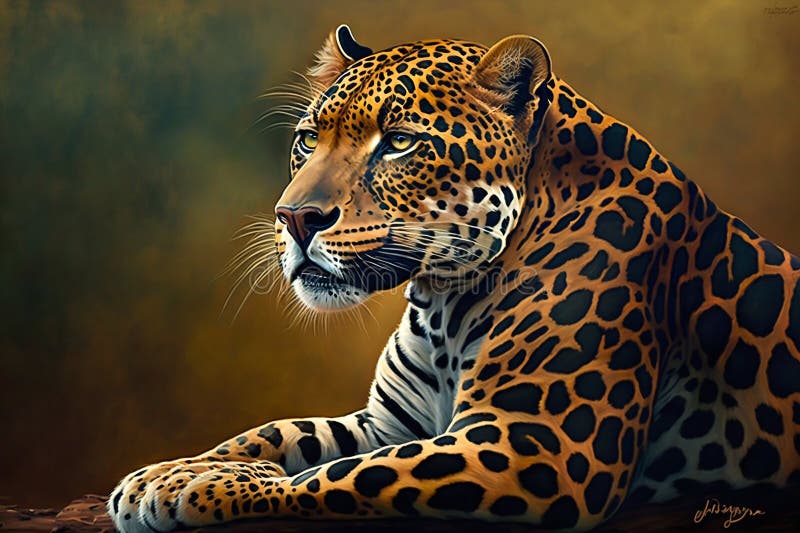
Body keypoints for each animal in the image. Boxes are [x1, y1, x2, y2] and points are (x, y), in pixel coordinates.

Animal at [108, 25, 800, 531]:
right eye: (307, 140)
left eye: (399, 143)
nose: (294, 217)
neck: (442, 302)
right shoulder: (391, 425)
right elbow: (281, 433)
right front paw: (165, 474)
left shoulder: (533, 446)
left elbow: (339, 475)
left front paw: (206, 487)